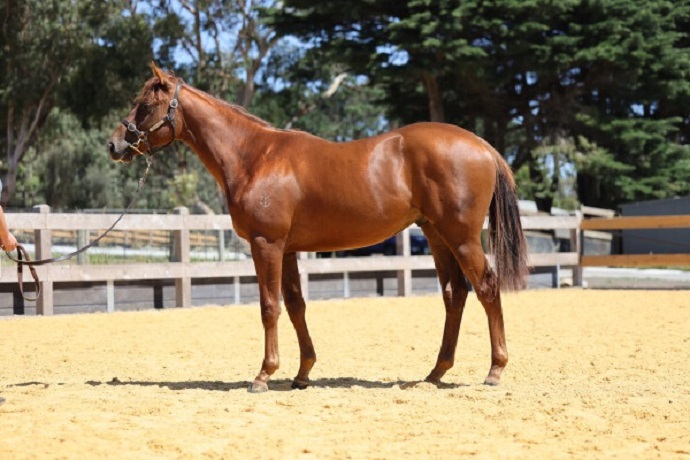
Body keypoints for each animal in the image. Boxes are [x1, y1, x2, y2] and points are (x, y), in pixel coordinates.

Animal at [108, 62, 528, 393]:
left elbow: (269, 306)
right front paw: (302, 373)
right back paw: (435, 373)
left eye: (146, 105)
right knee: (455, 295)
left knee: (487, 287)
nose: (114, 145)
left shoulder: (266, 244)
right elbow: (295, 306)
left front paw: (263, 375)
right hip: (437, 235)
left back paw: (495, 370)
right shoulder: (288, 249)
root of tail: (482, 146)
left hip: (461, 237)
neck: (255, 156)